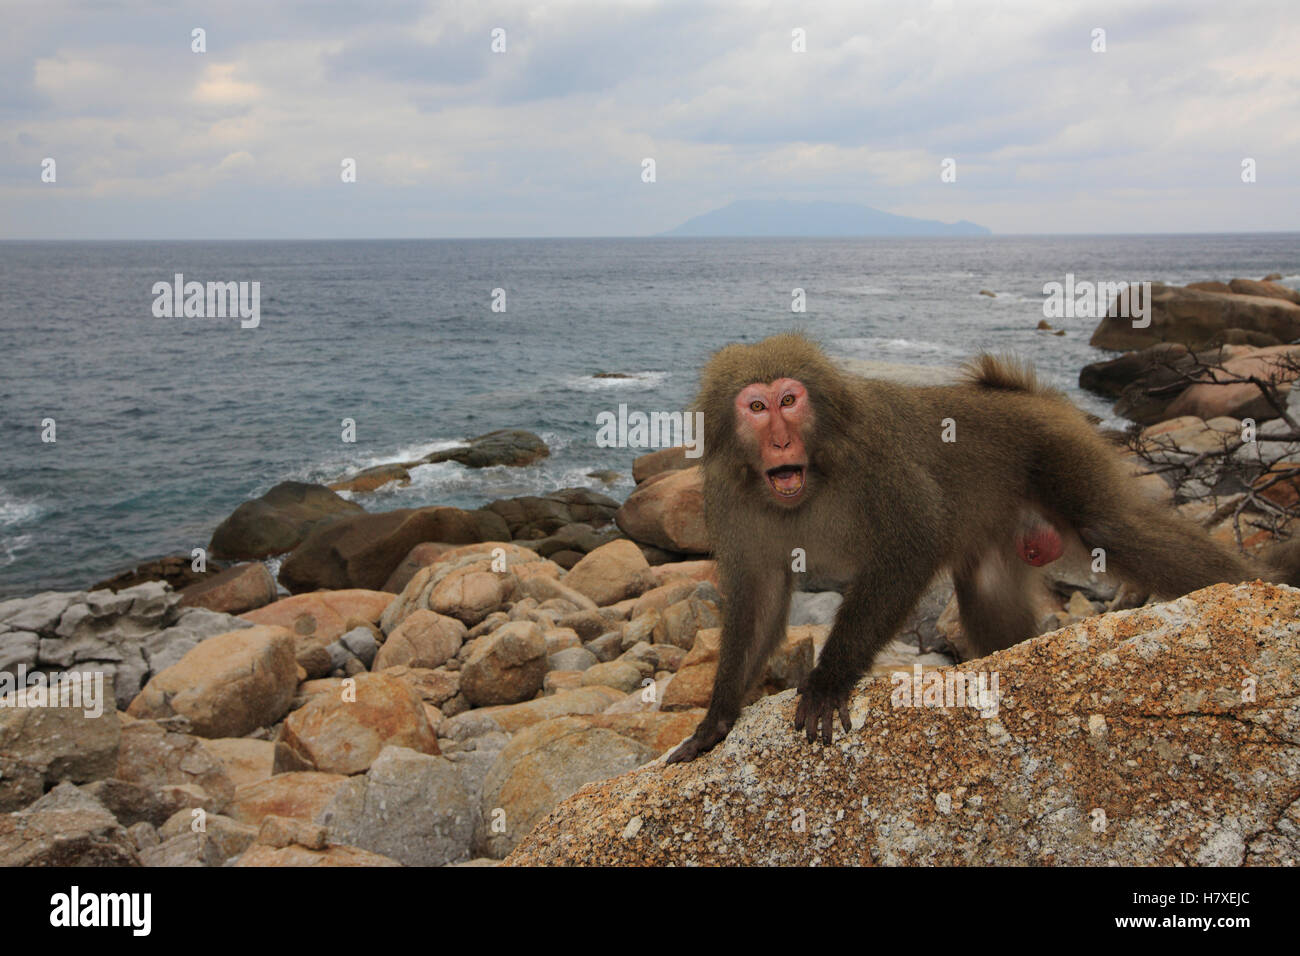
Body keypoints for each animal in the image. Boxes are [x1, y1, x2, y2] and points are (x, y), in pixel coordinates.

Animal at [666, 333, 1286, 763]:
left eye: (789, 400)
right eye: (756, 407)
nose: (779, 441)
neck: (811, 478)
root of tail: (1032, 398)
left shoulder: (873, 456)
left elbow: (914, 541)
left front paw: (828, 680)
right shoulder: (730, 496)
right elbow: (761, 594)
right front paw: (716, 721)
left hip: (1061, 450)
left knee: (1114, 528)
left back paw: (1261, 590)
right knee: (987, 588)